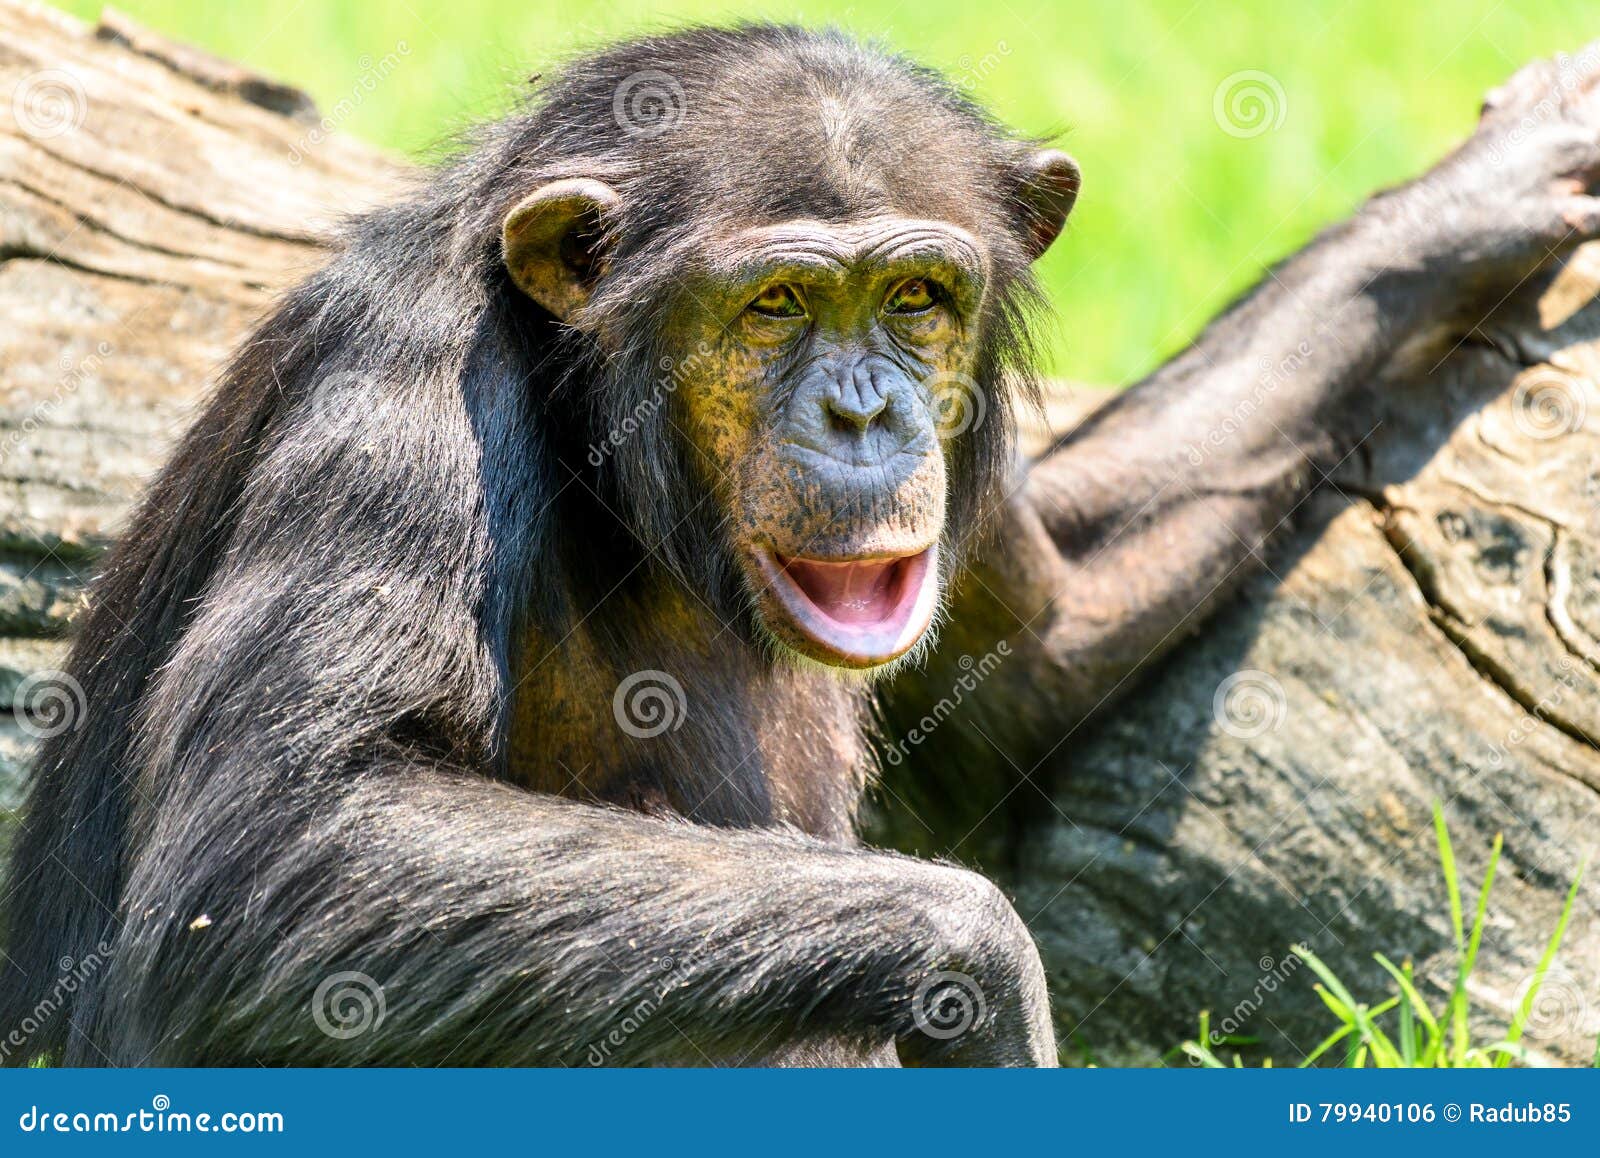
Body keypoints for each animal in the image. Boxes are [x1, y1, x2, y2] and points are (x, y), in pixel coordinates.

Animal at [3, 25, 1599, 1067]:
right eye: (774, 304)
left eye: (915, 299)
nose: (861, 409)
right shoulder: (406, 394)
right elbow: (290, 849)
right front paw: (982, 974)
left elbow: (1045, 635)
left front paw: (1469, 202)